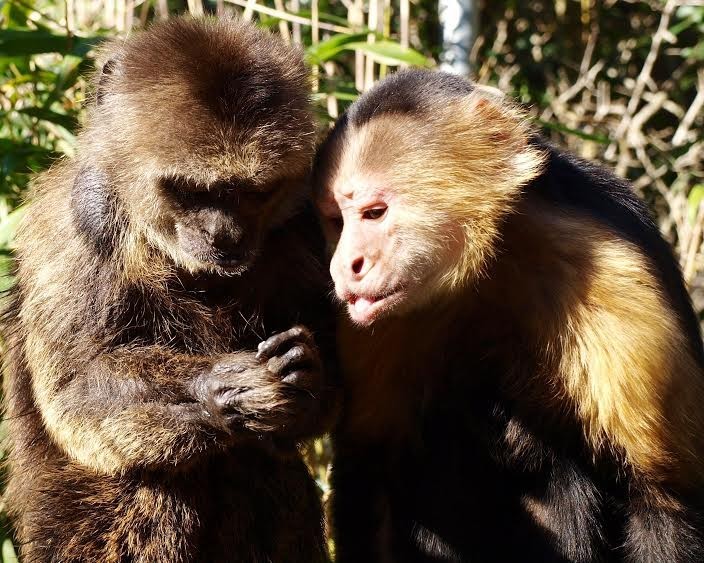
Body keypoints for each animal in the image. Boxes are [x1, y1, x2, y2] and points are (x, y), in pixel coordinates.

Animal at [1, 17, 338, 563]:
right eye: (193, 191)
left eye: (252, 193)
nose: (225, 235)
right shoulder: (85, 215)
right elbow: (74, 394)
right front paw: (218, 389)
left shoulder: (308, 215)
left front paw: (306, 370)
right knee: (152, 476)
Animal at [313, 69, 704, 562]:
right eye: (335, 221)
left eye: (374, 213)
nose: (344, 266)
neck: (483, 269)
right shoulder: (373, 324)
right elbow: (369, 468)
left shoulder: (616, 281)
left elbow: (663, 500)